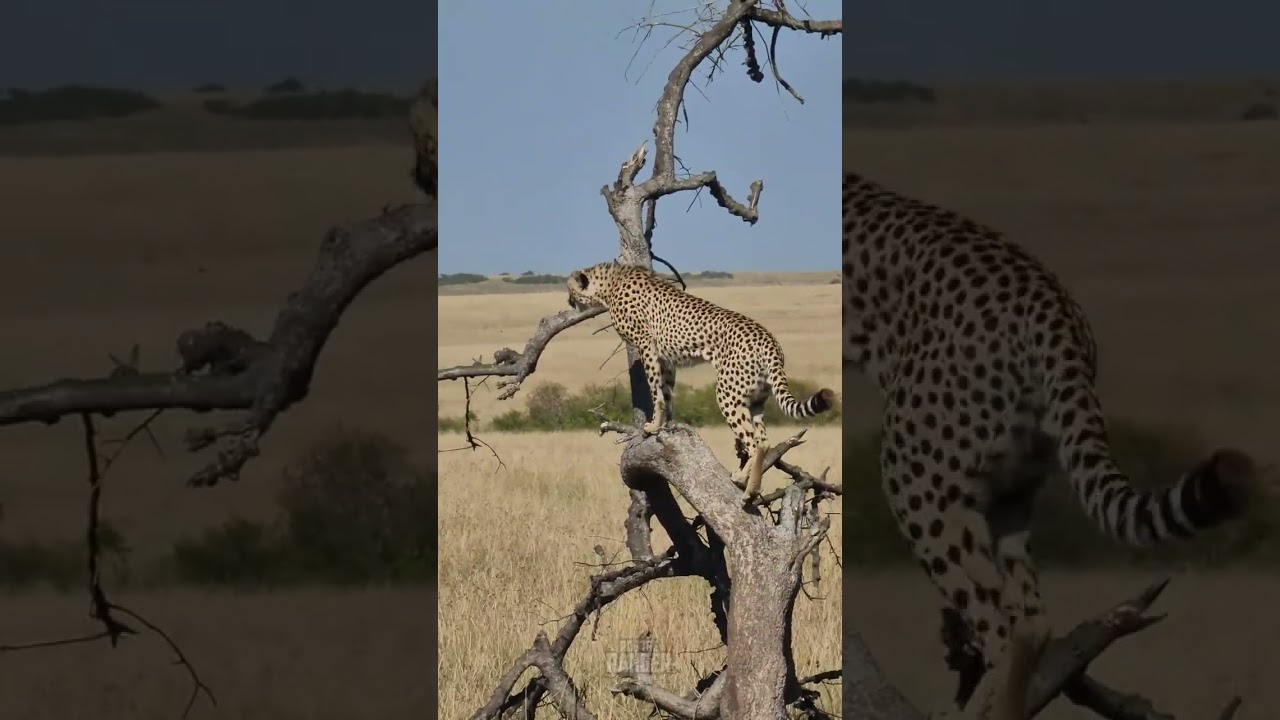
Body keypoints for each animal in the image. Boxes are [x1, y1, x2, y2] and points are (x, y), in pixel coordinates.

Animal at [567, 261, 836, 499]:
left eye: (570, 289)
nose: (569, 301)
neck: (610, 282)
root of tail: (770, 340)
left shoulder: (647, 346)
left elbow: (655, 391)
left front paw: (653, 425)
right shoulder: (666, 359)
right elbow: (666, 391)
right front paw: (667, 424)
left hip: (727, 393)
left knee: (753, 442)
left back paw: (747, 486)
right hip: (756, 397)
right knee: (764, 439)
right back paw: (746, 482)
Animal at [842, 170, 1262, 714]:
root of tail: (1049, 298)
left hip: (916, 475)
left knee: (999, 621)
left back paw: (980, 707)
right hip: (1009, 477)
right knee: (1031, 618)